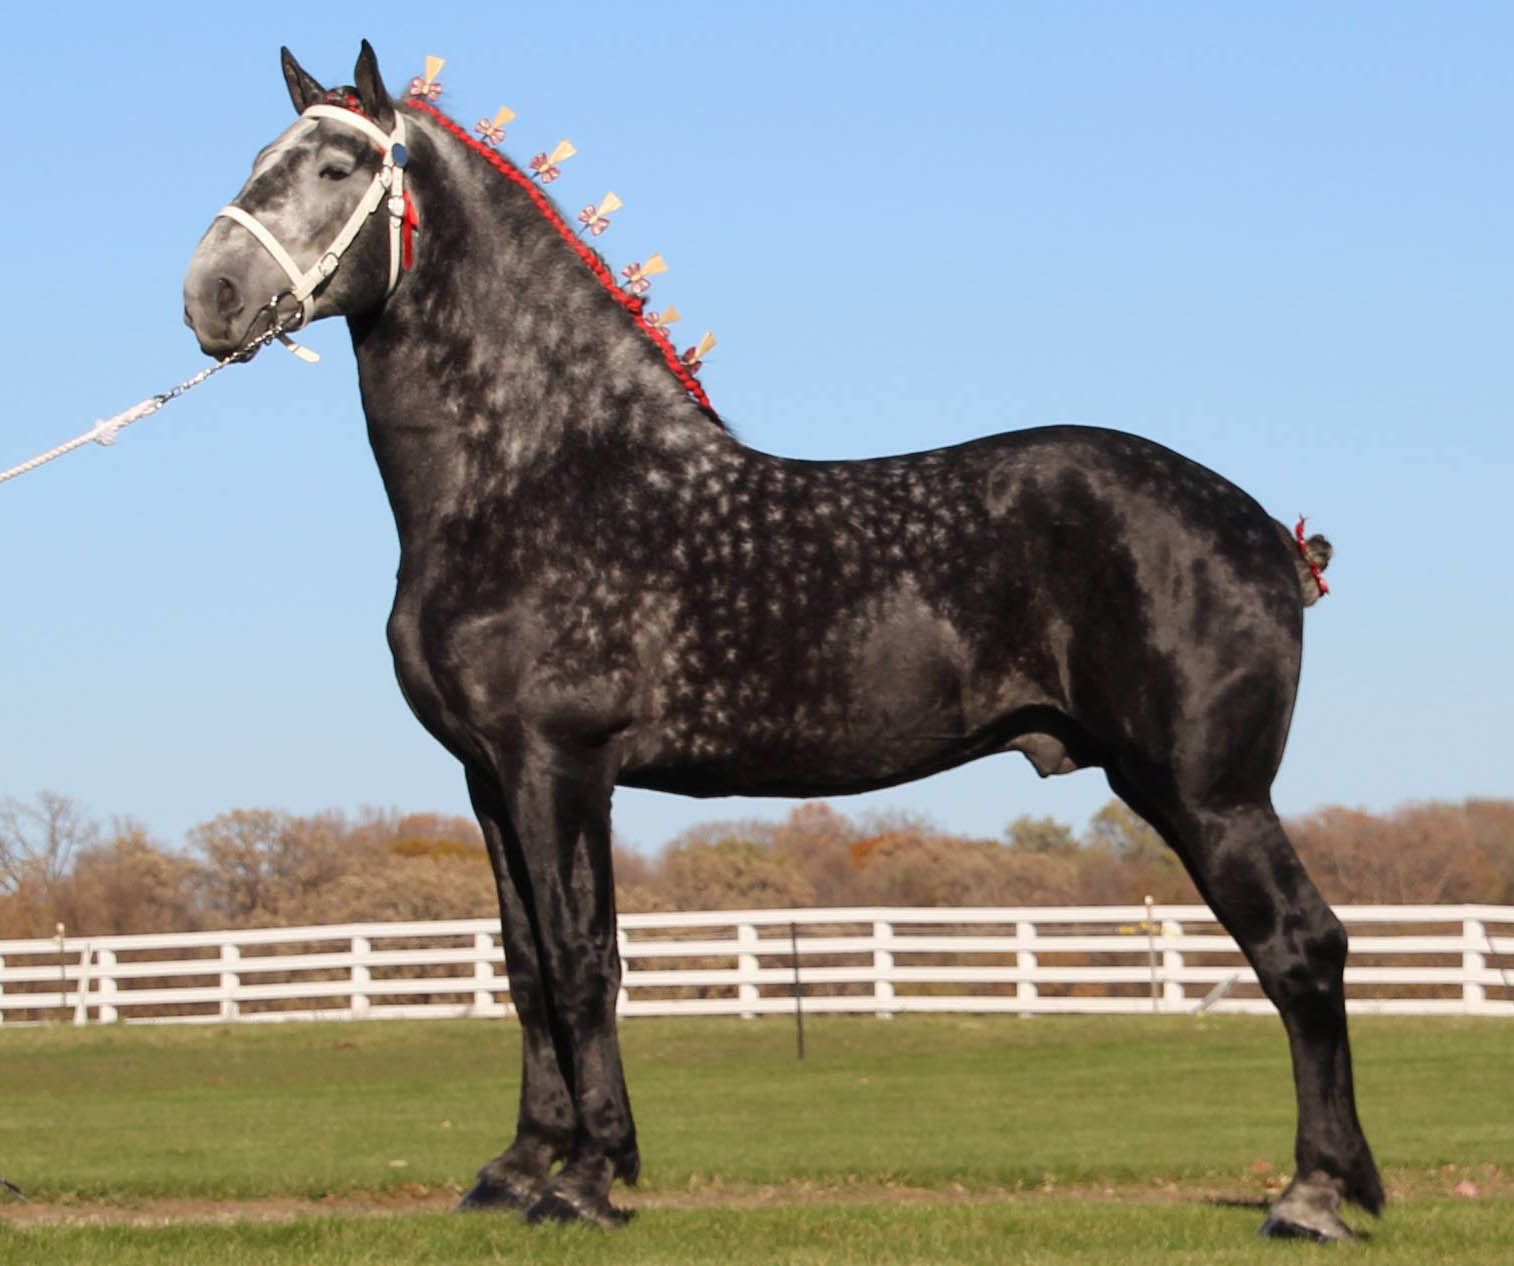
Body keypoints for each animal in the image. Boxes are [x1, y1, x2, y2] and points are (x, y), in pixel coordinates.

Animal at [182, 41, 1379, 1242]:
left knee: (1300, 947)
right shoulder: (488, 778)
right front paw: (518, 1168)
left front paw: (587, 1177)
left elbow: (581, 961)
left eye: (336, 166)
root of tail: (1269, 536)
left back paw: (1312, 1195)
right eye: (262, 155)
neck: (539, 474)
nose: (209, 296)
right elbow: (524, 969)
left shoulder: (559, 764)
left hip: (1207, 793)